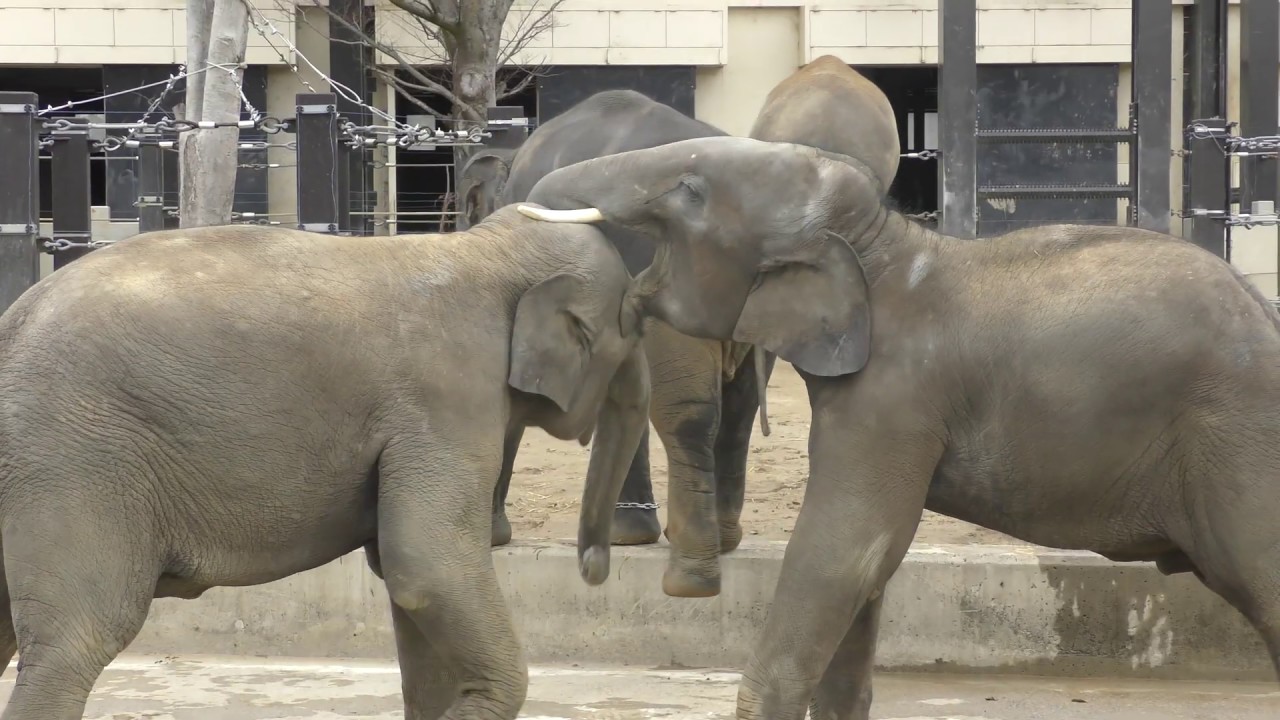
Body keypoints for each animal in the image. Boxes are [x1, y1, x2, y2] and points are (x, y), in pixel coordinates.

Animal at [0, 204, 650, 720]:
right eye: (630, 332)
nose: (595, 568)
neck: (484, 247)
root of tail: (14, 321)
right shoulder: (447, 401)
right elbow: (426, 564)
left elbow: (407, 577)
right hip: (73, 457)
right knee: (78, 639)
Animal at [516, 135, 1280, 719]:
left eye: (689, 190)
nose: (596, 570)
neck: (883, 243)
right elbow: (865, 571)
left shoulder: (893, 397)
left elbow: (844, 549)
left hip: (1239, 442)